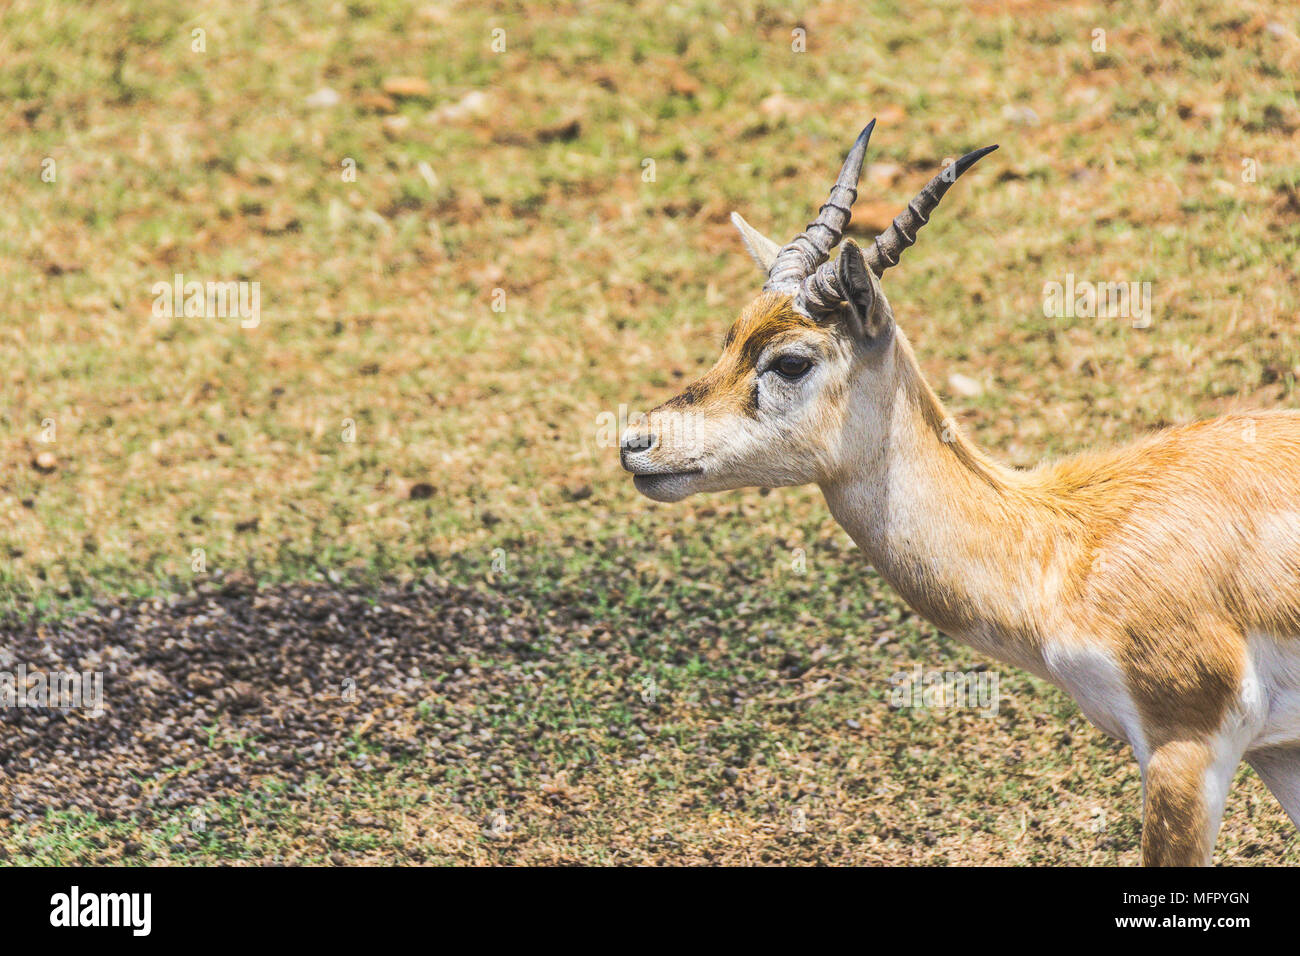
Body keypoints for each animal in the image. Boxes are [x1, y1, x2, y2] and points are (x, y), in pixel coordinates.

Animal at [620, 120, 1300, 866]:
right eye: (732, 335)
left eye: (791, 361)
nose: (637, 442)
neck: (1068, 546)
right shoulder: (1279, 749)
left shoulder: (1186, 743)